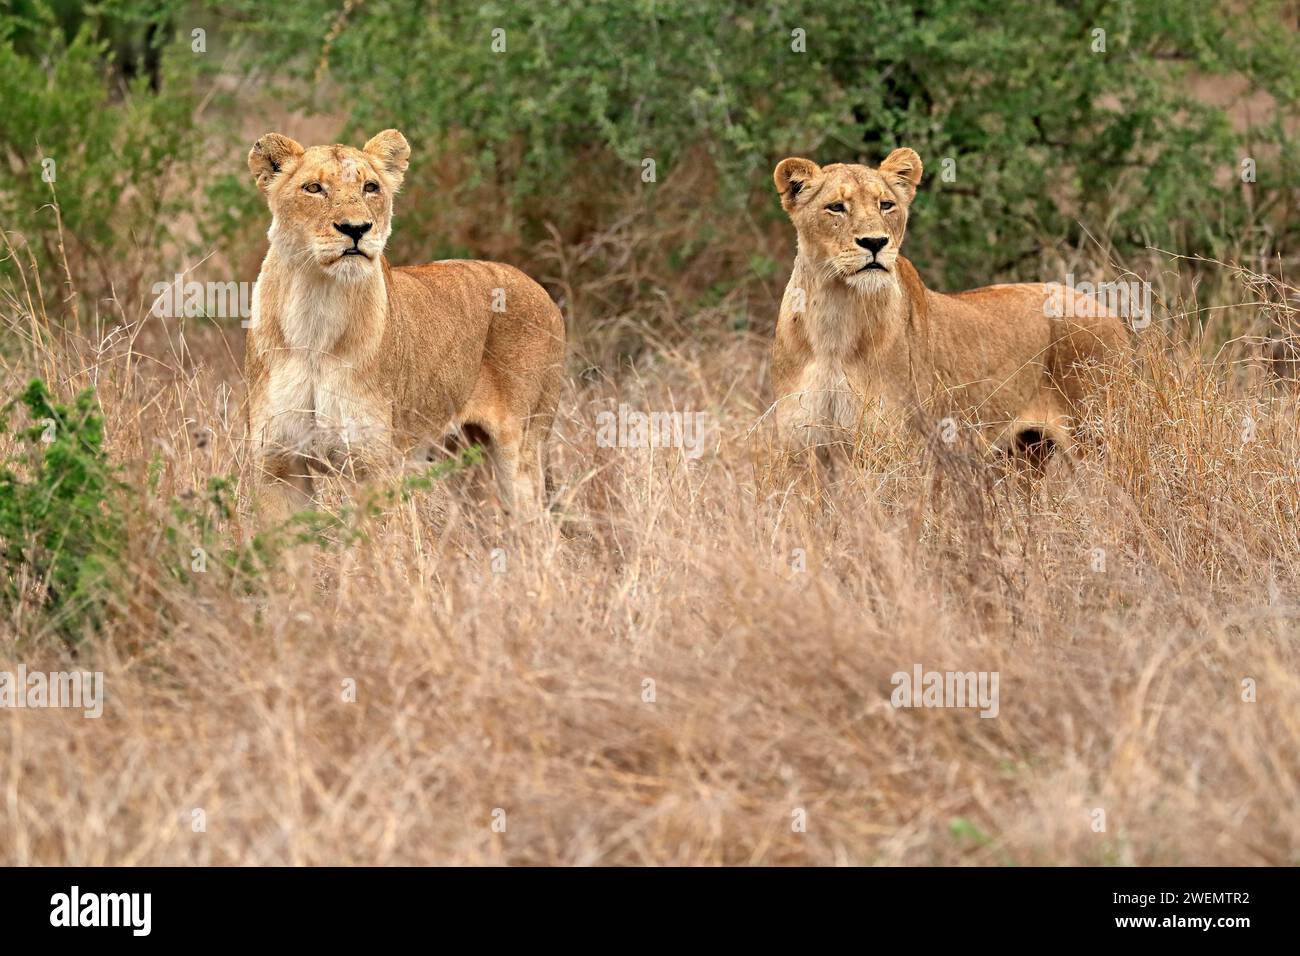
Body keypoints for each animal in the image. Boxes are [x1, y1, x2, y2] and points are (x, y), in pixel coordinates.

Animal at [244, 129, 565, 519]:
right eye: (314, 188)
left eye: (370, 187)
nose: (356, 229)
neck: (315, 309)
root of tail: (540, 289)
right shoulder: (278, 467)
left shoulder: (371, 465)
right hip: (466, 462)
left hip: (521, 449)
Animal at [769, 148, 1127, 468]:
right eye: (836, 208)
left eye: (886, 205)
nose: (875, 243)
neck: (835, 316)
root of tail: (1105, 309)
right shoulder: (801, 448)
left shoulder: (892, 448)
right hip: (1026, 452)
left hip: (1097, 437)